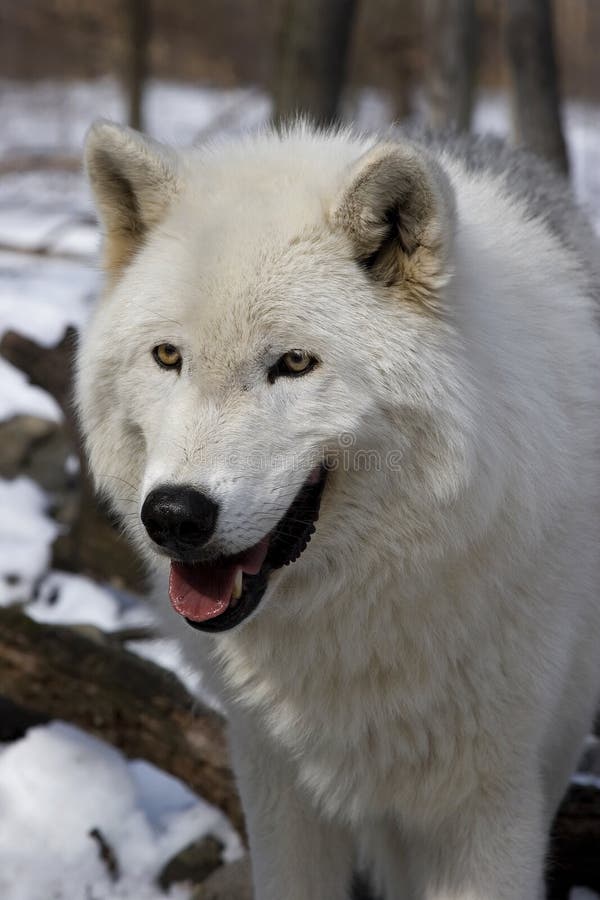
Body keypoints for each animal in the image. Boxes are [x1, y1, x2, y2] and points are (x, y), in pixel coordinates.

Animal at [77, 120, 600, 900]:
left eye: (294, 364)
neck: (355, 617)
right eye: (168, 356)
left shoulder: (492, 803)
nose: (173, 516)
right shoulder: (276, 783)